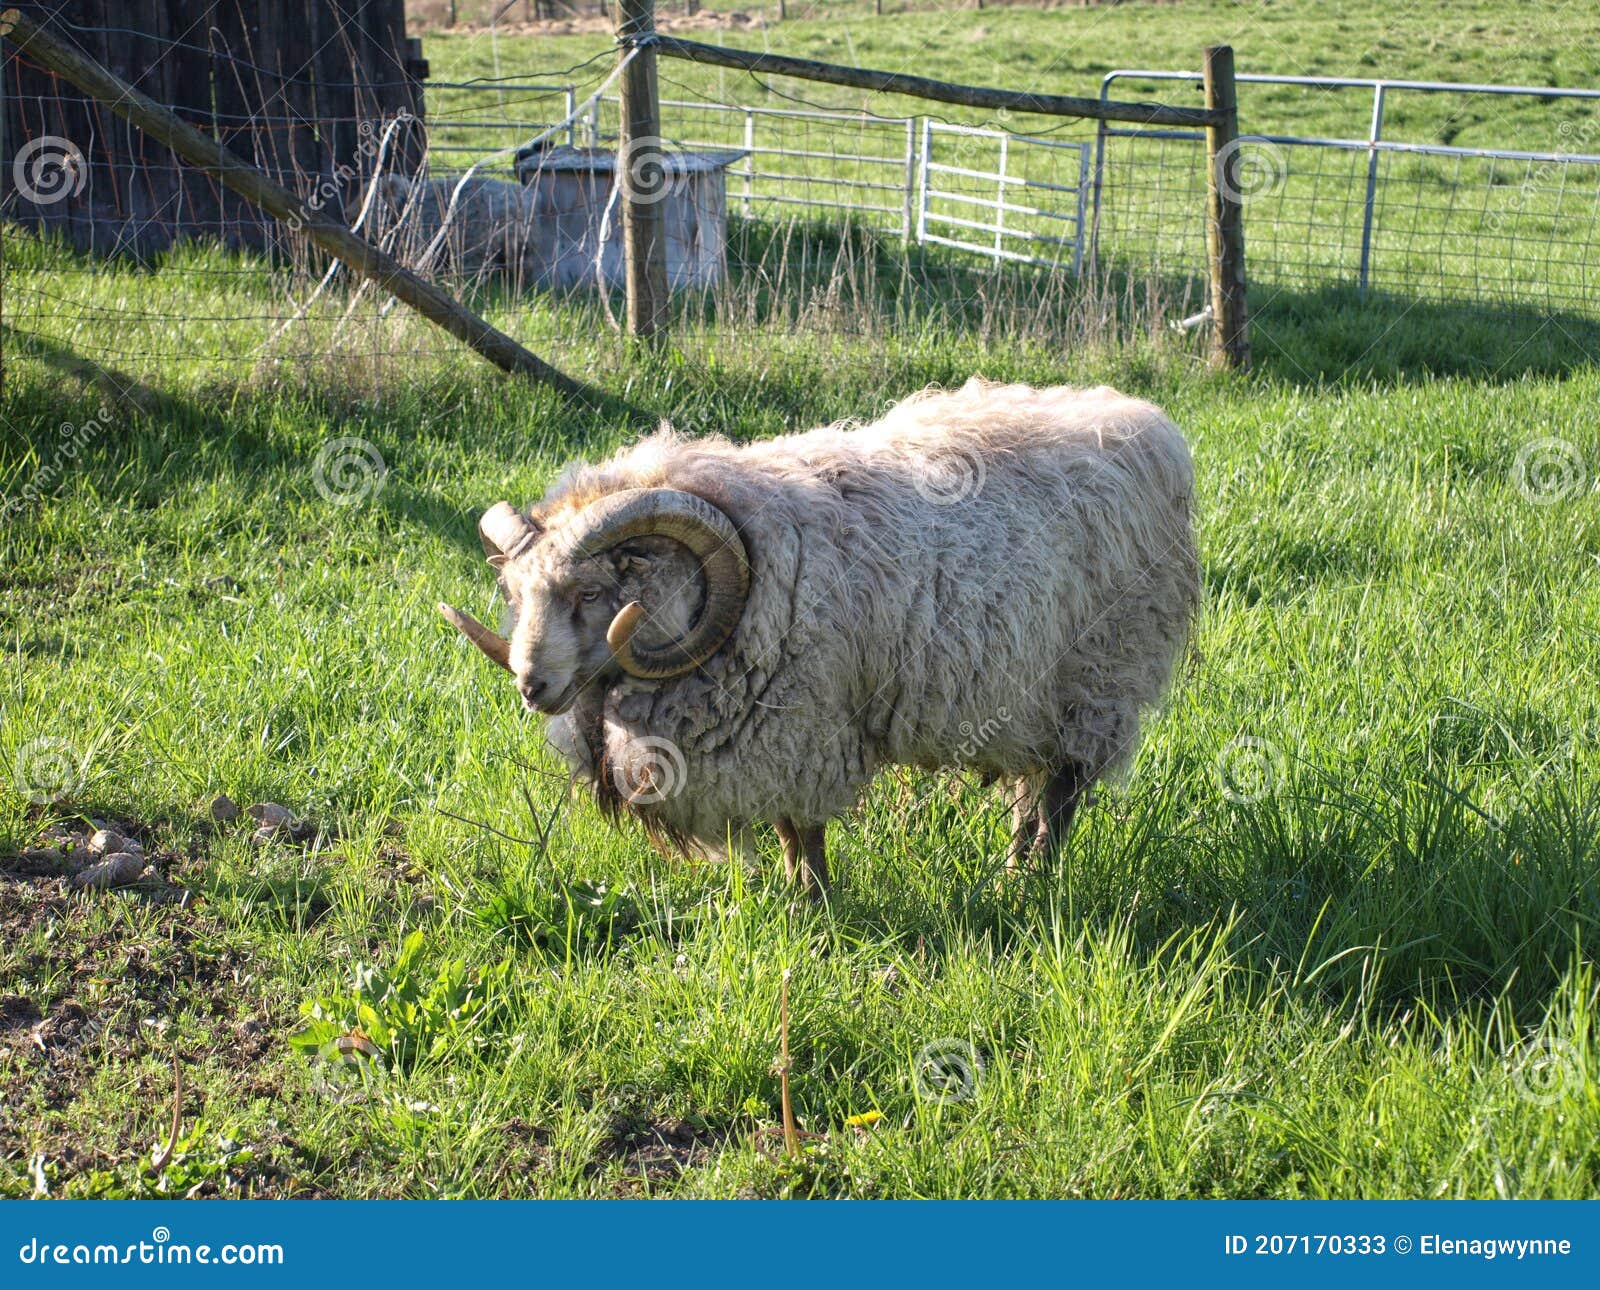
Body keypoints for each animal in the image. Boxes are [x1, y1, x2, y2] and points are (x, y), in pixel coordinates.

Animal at [441, 378, 1199, 900]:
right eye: (516, 594)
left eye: (592, 594)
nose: (531, 686)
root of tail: (1144, 425)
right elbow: (786, 832)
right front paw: (797, 896)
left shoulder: (797, 731)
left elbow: (803, 831)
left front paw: (815, 905)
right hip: (1029, 698)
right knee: (1031, 789)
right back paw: (1015, 871)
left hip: (1097, 682)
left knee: (1061, 793)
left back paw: (1032, 883)